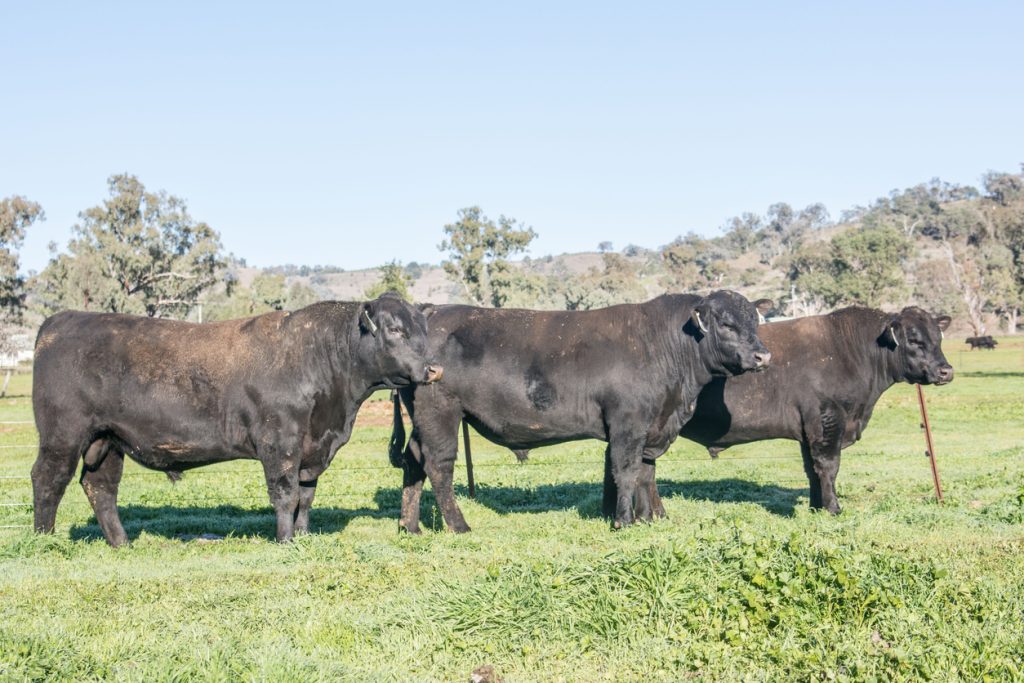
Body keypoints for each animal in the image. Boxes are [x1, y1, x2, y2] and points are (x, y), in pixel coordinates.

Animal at [31, 295, 442, 546]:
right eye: (395, 330)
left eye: (423, 330)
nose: (433, 368)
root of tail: (60, 321)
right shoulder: (280, 443)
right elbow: (285, 494)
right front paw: (285, 540)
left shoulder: (313, 448)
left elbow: (306, 497)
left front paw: (303, 537)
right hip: (63, 435)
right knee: (48, 479)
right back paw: (43, 539)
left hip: (107, 439)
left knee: (100, 487)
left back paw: (122, 543)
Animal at [389, 291, 773, 533]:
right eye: (725, 323)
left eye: (755, 321)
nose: (763, 355)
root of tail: (431, 310)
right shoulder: (628, 424)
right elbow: (626, 471)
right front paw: (624, 521)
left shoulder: (652, 426)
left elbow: (646, 473)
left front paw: (648, 519)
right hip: (440, 412)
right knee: (439, 466)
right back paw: (458, 525)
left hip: (423, 420)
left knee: (414, 460)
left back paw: (410, 526)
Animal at [621, 306, 952, 517]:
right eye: (914, 339)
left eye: (938, 338)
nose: (946, 371)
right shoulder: (828, 419)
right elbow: (829, 466)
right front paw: (834, 508)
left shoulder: (810, 429)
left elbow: (812, 470)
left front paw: (817, 507)